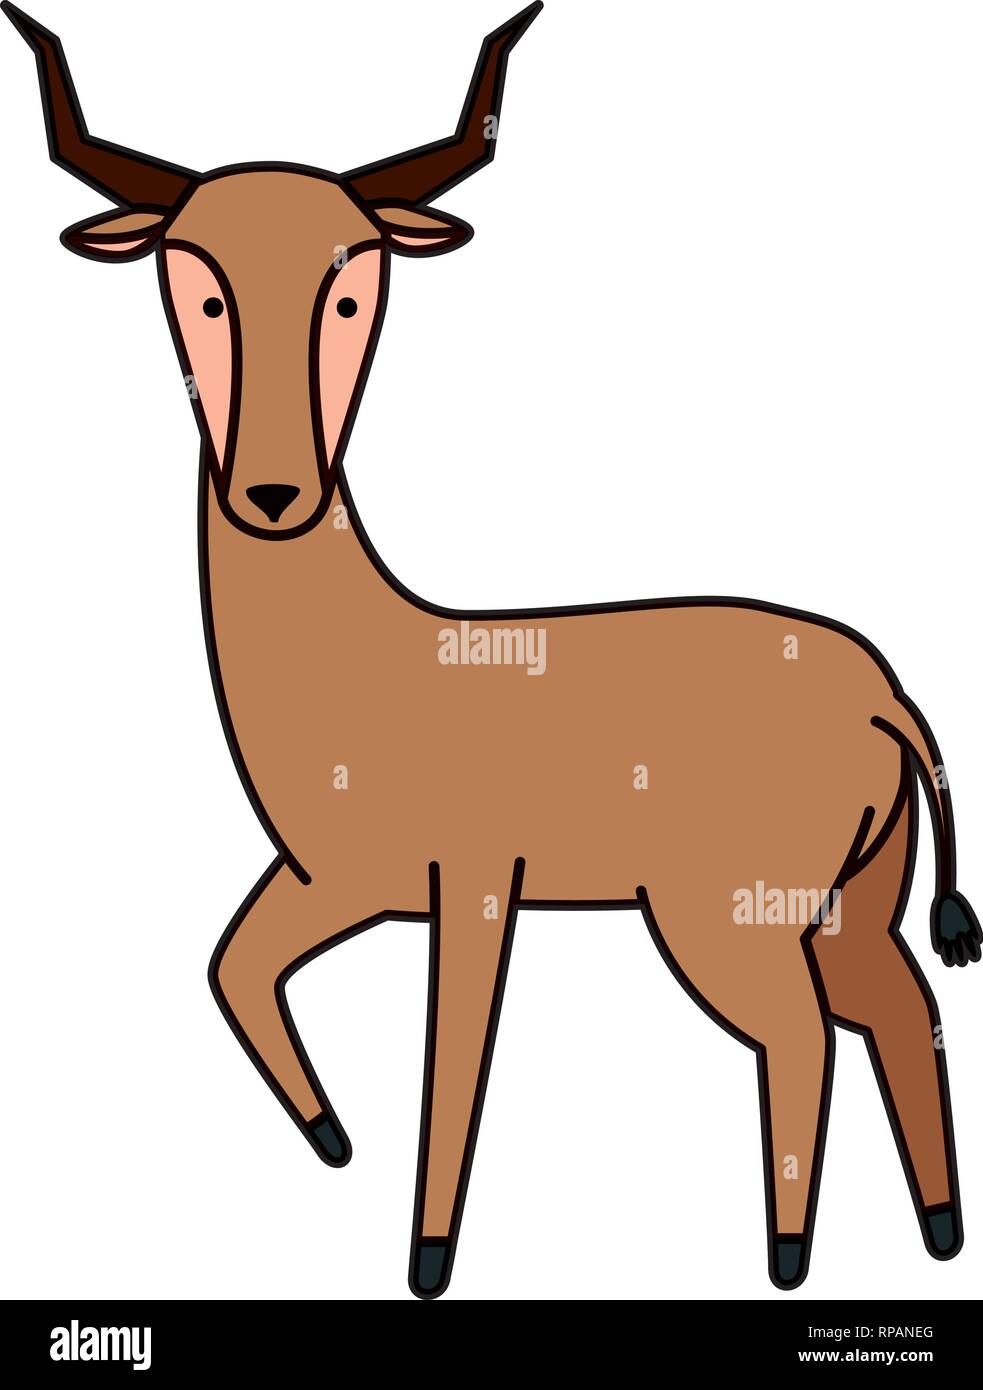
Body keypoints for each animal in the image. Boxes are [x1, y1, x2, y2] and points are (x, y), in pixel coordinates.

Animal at [6, 0, 981, 1300]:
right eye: (192, 277)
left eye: (353, 281)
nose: (274, 490)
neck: (375, 655)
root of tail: (886, 692)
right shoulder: (333, 882)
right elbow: (230, 969)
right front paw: (334, 1141)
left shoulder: (471, 885)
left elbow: (454, 1067)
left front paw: (424, 1257)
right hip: (847, 909)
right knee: (900, 1006)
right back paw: (936, 1233)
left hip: (720, 915)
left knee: (801, 1033)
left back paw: (784, 1258)